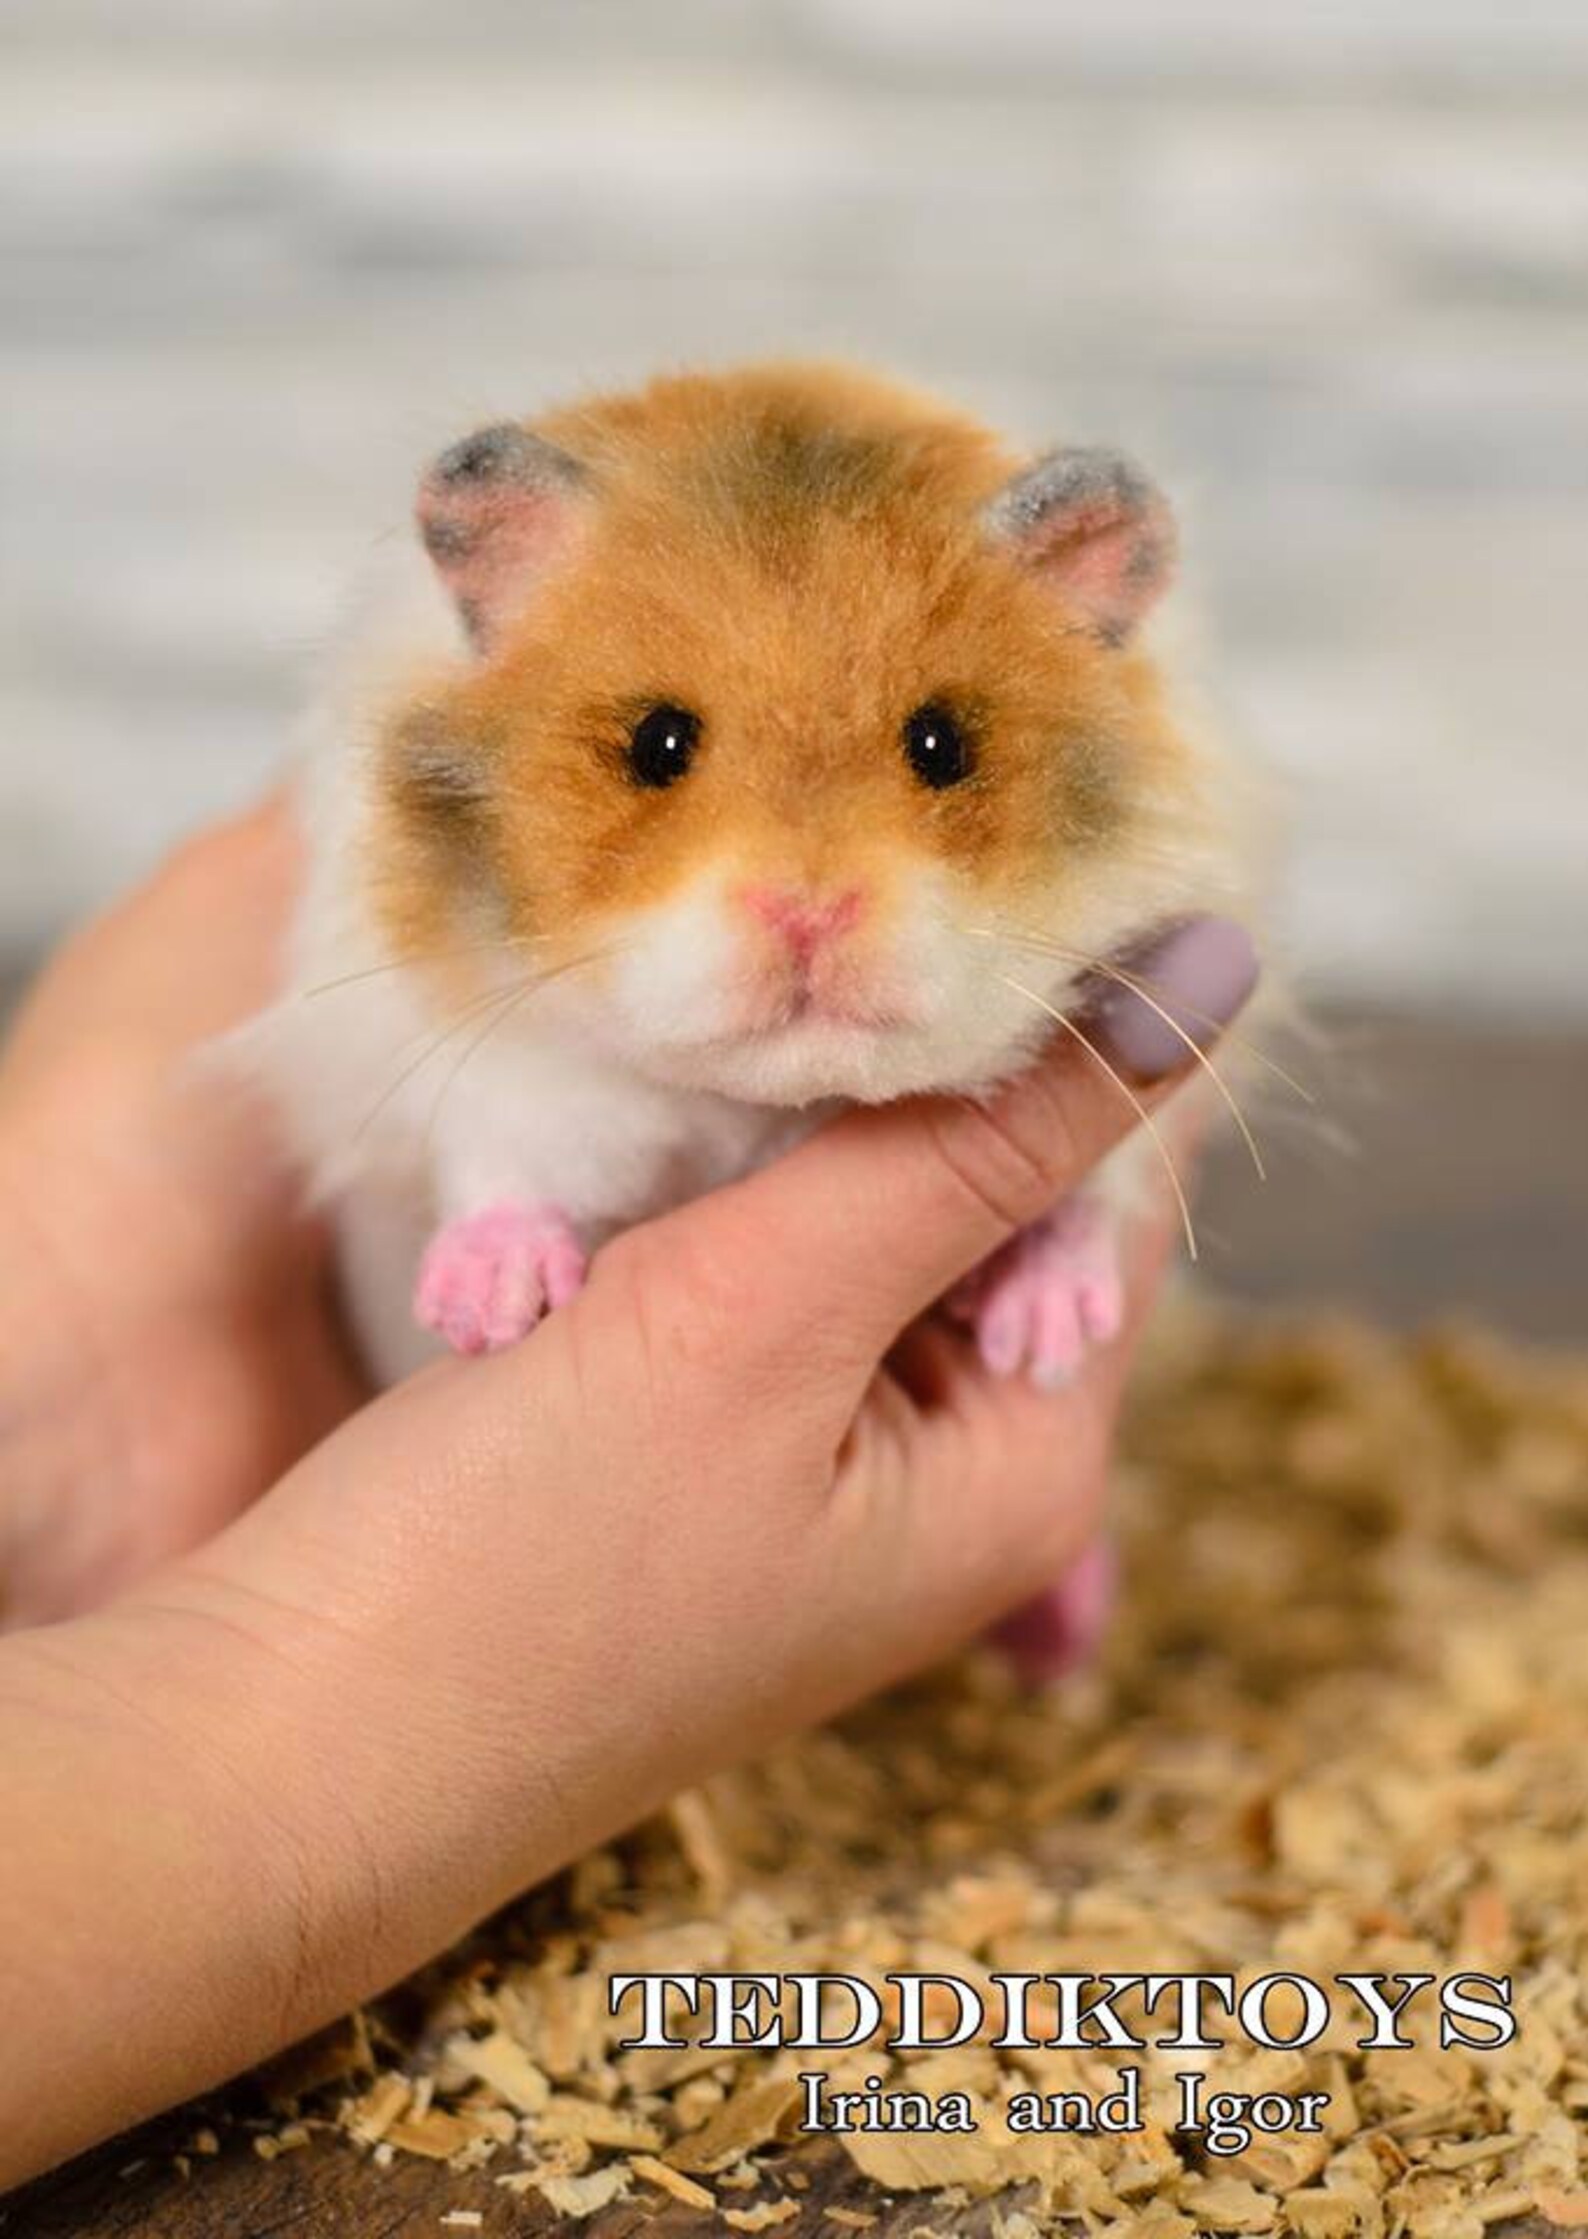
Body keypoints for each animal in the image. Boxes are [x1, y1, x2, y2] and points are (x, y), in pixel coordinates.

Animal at [254, 363, 1254, 1393]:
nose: (808, 910)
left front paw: (1036, 1341)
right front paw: (490, 1315)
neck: (760, 1104)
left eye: (943, 744)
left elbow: (1093, 1186)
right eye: (657, 742)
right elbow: (505, 1151)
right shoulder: (471, 1047)